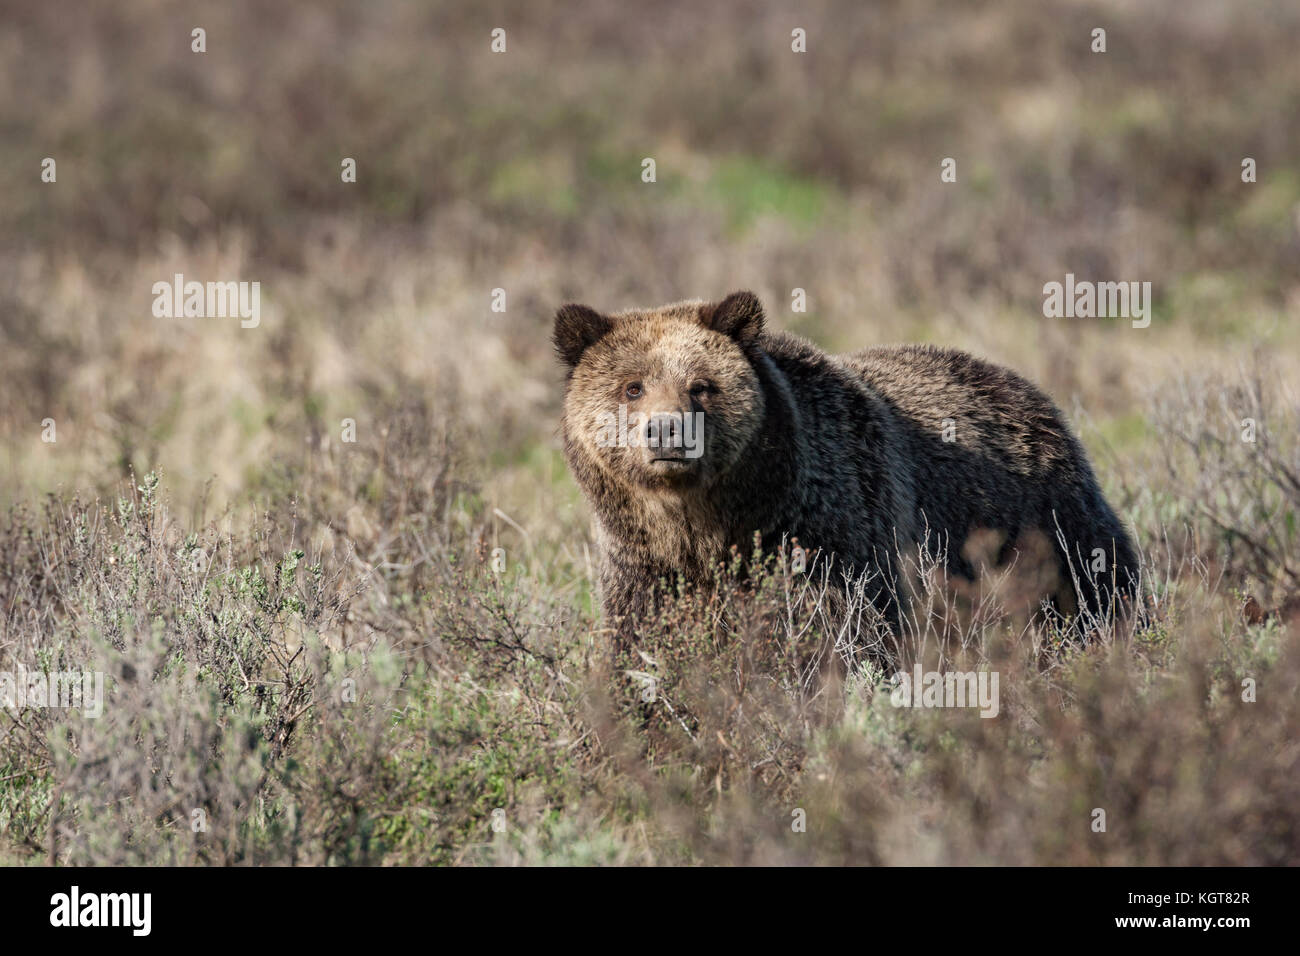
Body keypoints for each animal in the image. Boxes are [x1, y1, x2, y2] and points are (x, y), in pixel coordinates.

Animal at [554, 290, 1140, 655]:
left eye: (701, 384)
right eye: (632, 386)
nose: (667, 430)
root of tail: (1026, 388)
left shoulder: (826, 535)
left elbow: (843, 631)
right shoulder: (646, 566)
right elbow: (642, 646)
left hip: (1045, 520)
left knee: (1095, 585)